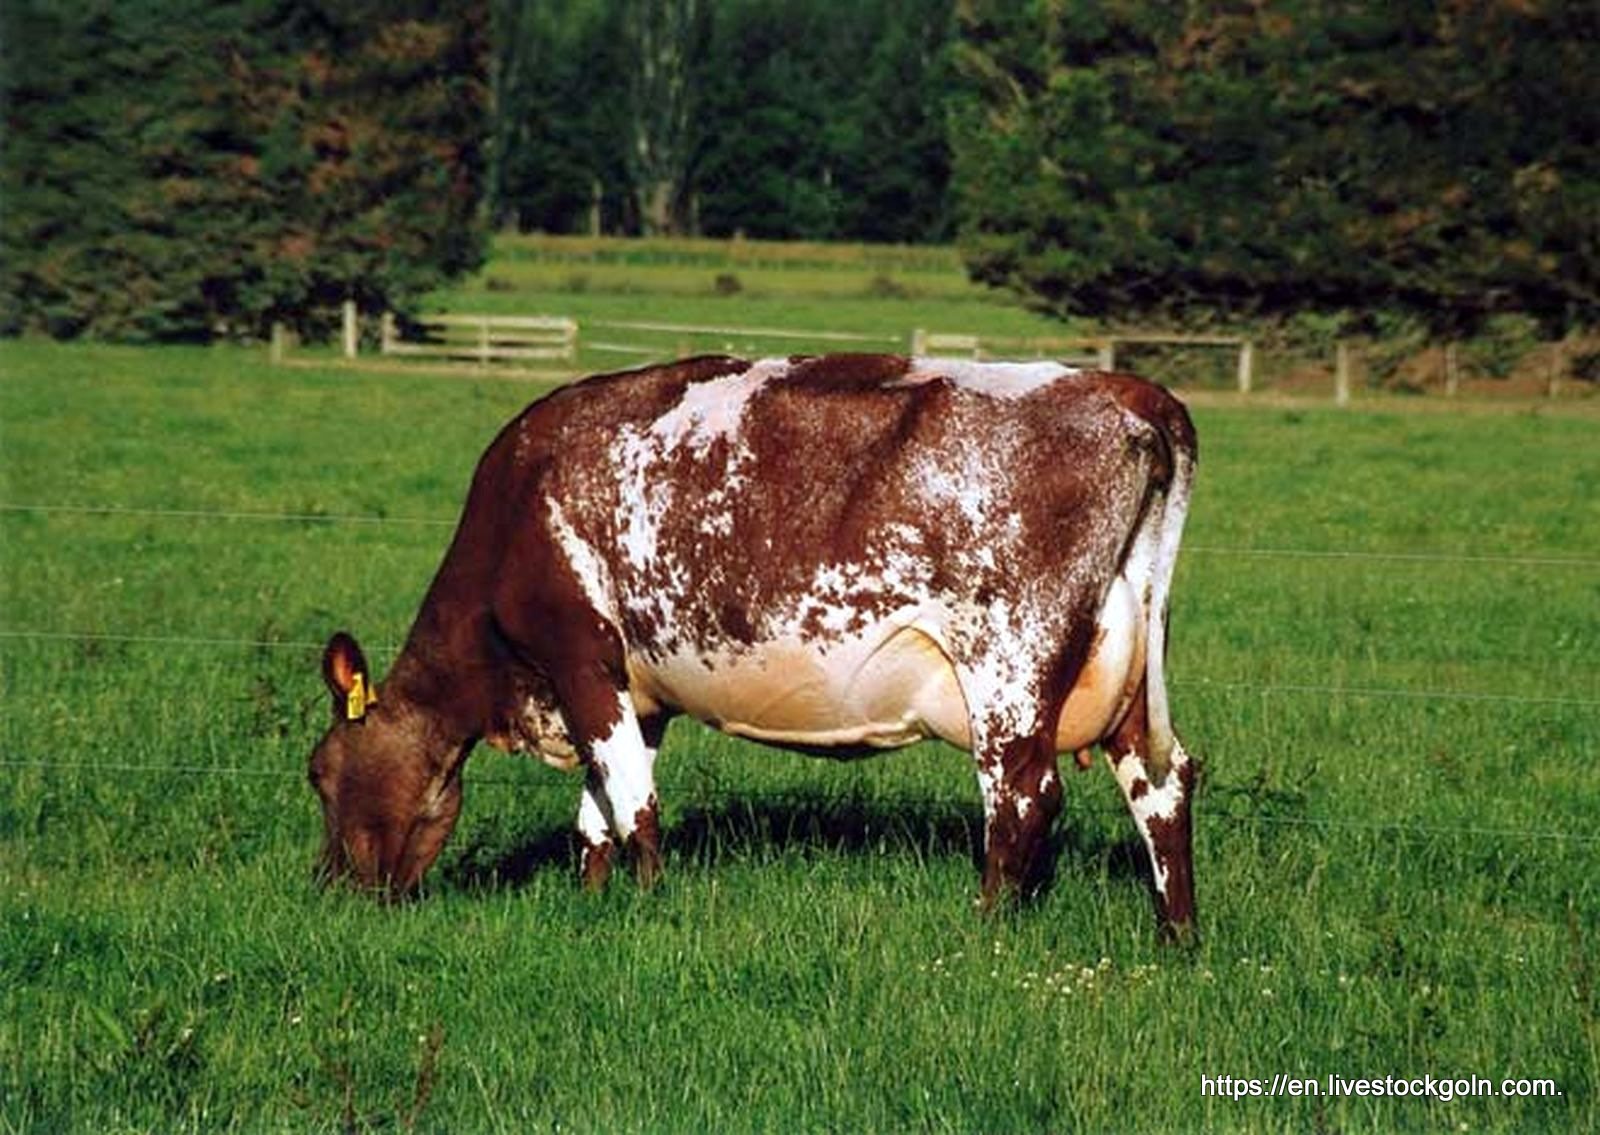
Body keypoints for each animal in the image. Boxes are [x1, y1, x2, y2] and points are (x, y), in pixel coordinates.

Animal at [307, 353, 1199, 938]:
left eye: (319, 773)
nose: (328, 888)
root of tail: (1124, 388)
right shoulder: (635, 688)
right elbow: (599, 810)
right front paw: (592, 901)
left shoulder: (579, 656)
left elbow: (633, 803)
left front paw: (647, 905)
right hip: (1121, 663)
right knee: (1163, 780)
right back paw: (1177, 935)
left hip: (1008, 667)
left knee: (1023, 796)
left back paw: (984, 928)